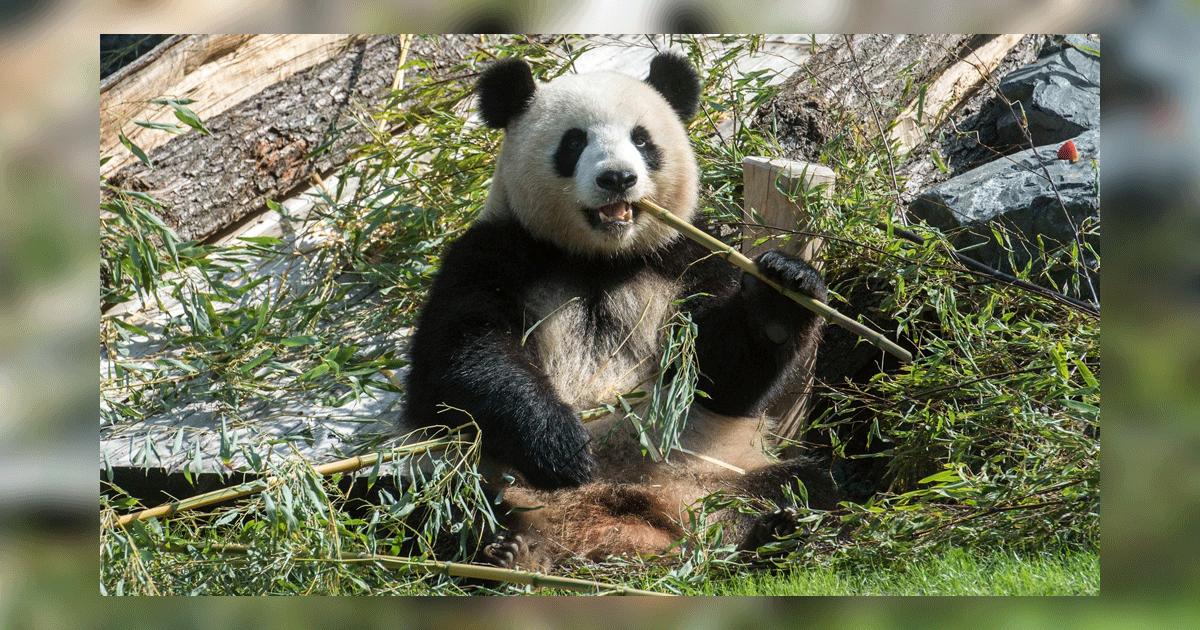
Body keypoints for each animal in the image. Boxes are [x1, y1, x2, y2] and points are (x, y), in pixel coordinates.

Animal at [404, 52, 839, 569]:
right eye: (574, 141)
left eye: (641, 139)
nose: (617, 178)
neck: (601, 259)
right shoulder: (494, 253)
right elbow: (461, 359)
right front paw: (561, 445)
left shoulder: (686, 257)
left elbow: (718, 377)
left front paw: (782, 292)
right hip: (471, 477)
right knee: (419, 499)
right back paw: (502, 552)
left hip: (716, 475)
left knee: (806, 485)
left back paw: (774, 535)